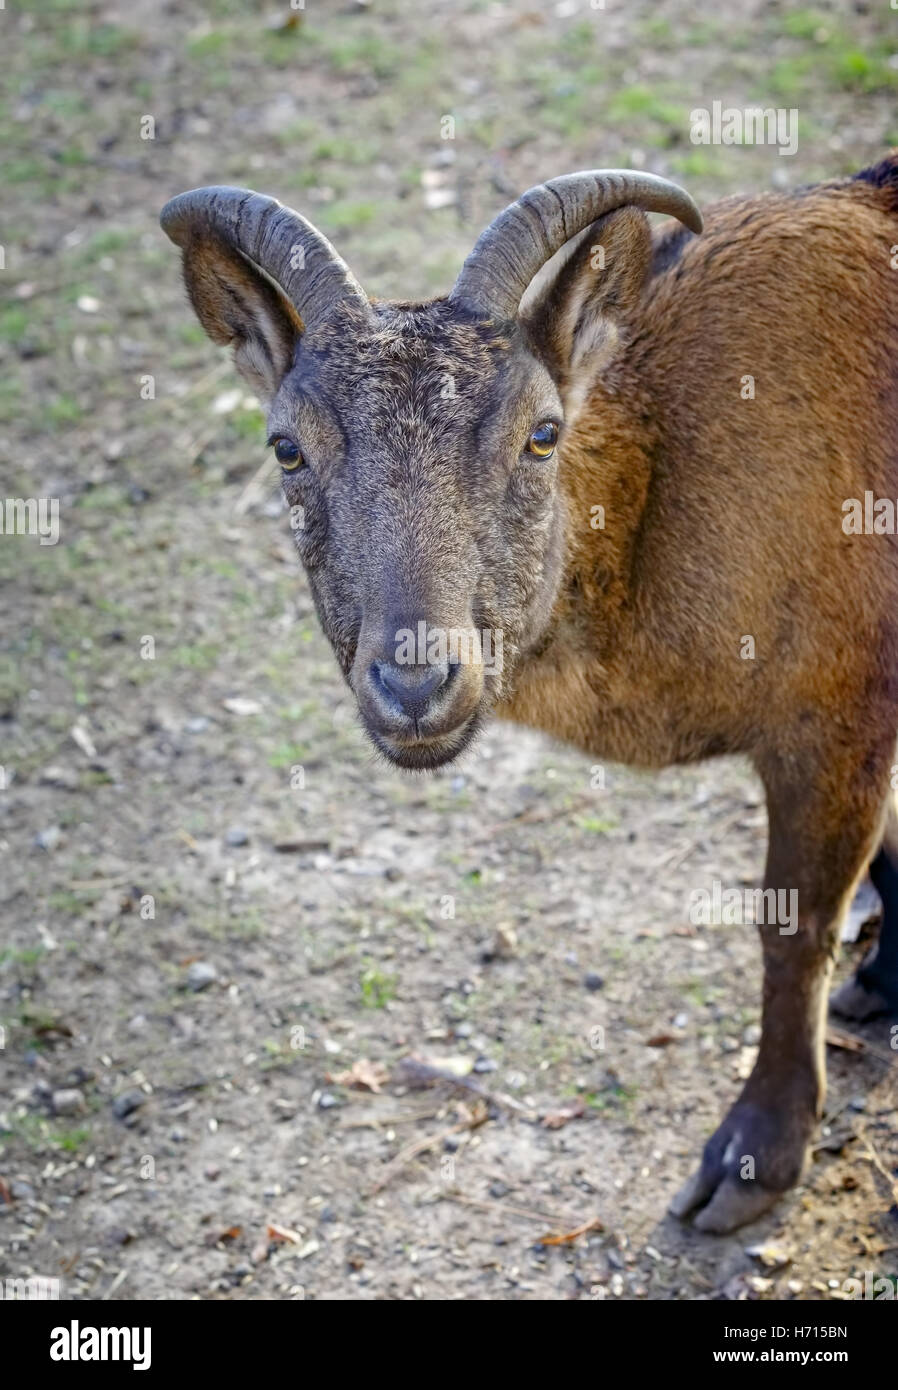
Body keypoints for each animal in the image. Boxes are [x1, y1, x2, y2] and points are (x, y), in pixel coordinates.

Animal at [161, 157, 898, 1233]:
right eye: (287, 448)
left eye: (541, 434)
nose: (415, 681)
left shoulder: (836, 711)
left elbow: (793, 924)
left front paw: (750, 1160)